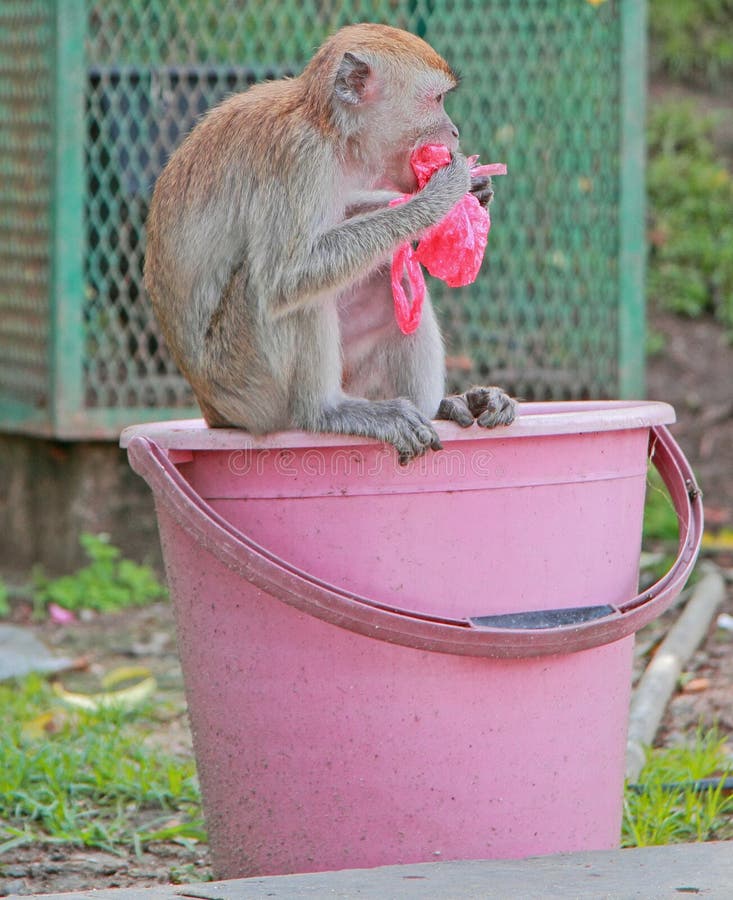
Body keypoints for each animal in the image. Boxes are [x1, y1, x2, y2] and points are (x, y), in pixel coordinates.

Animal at [144, 23, 516, 464]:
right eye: (438, 100)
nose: (455, 131)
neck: (332, 130)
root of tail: (213, 413)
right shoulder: (299, 158)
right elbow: (288, 275)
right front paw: (438, 199)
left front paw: (472, 192)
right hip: (245, 386)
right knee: (281, 291)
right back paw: (325, 412)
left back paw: (443, 406)